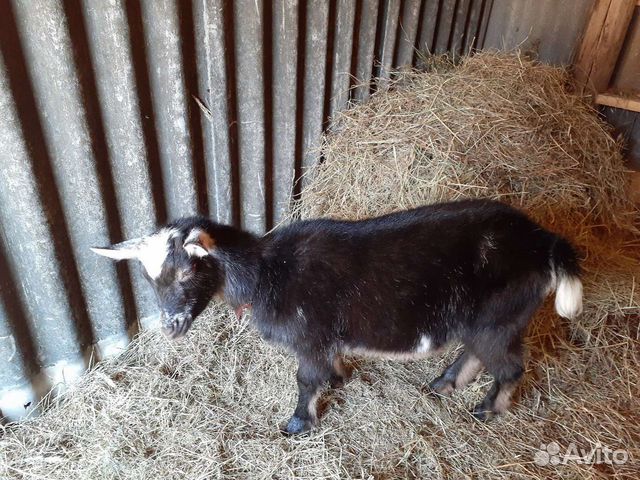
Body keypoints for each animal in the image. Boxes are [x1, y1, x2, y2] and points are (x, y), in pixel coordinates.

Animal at [91, 199, 582, 434]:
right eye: (149, 278)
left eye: (187, 270)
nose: (171, 328)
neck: (268, 272)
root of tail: (545, 242)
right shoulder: (325, 338)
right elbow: (332, 365)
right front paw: (342, 377)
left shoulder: (309, 338)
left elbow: (307, 379)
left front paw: (297, 425)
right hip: (485, 320)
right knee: (477, 354)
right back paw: (442, 384)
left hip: (500, 318)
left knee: (509, 366)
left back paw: (485, 410)